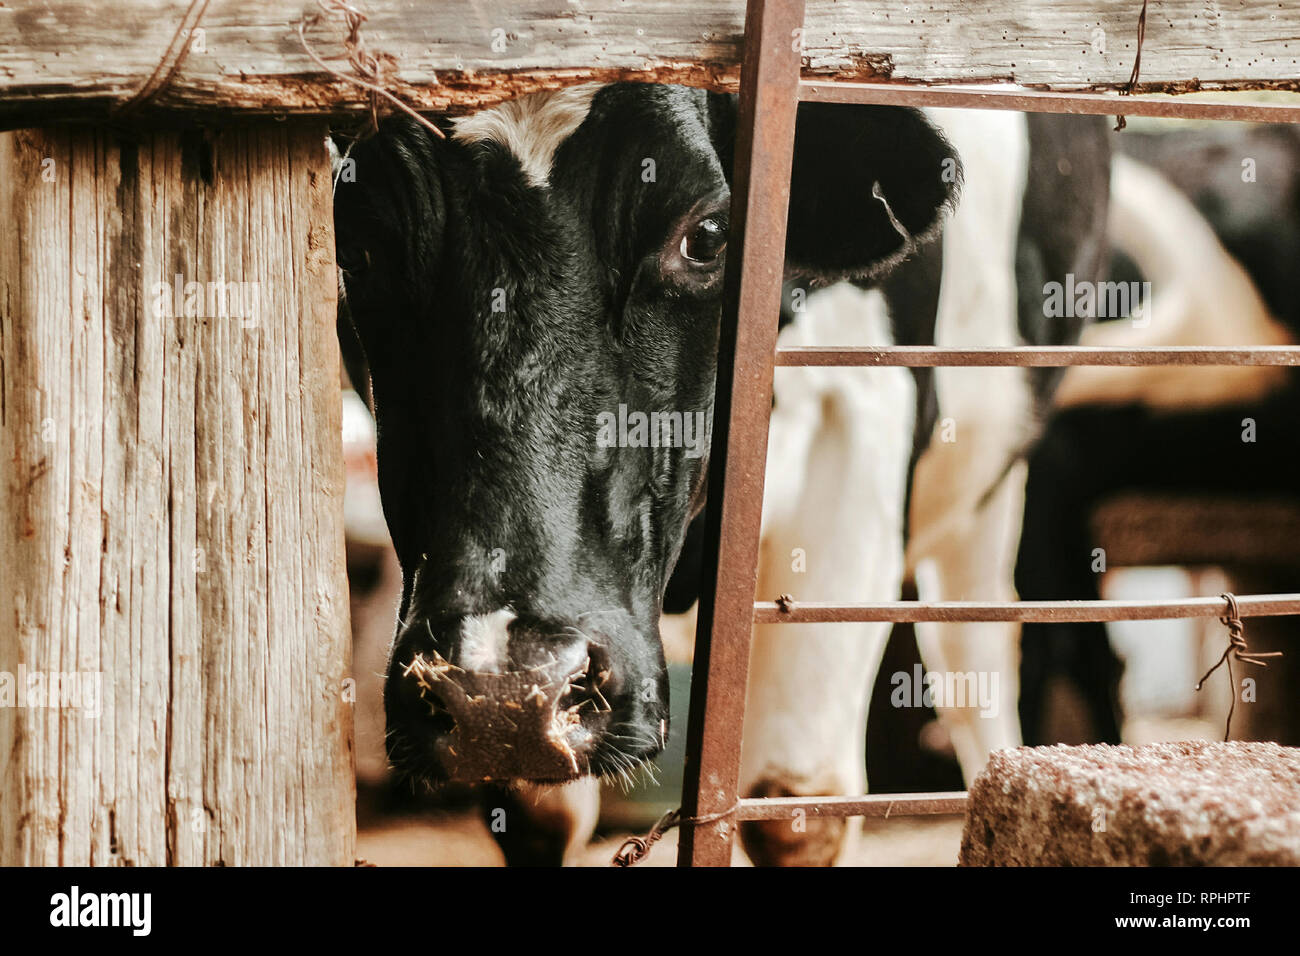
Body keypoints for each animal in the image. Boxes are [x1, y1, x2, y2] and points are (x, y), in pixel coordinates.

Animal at [333, 83, 1111, 865]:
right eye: (356, 248)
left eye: (708, 235)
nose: (500, 690)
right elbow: (538, 812)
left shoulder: (862, 416)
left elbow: (795, 804)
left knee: (976, 663)